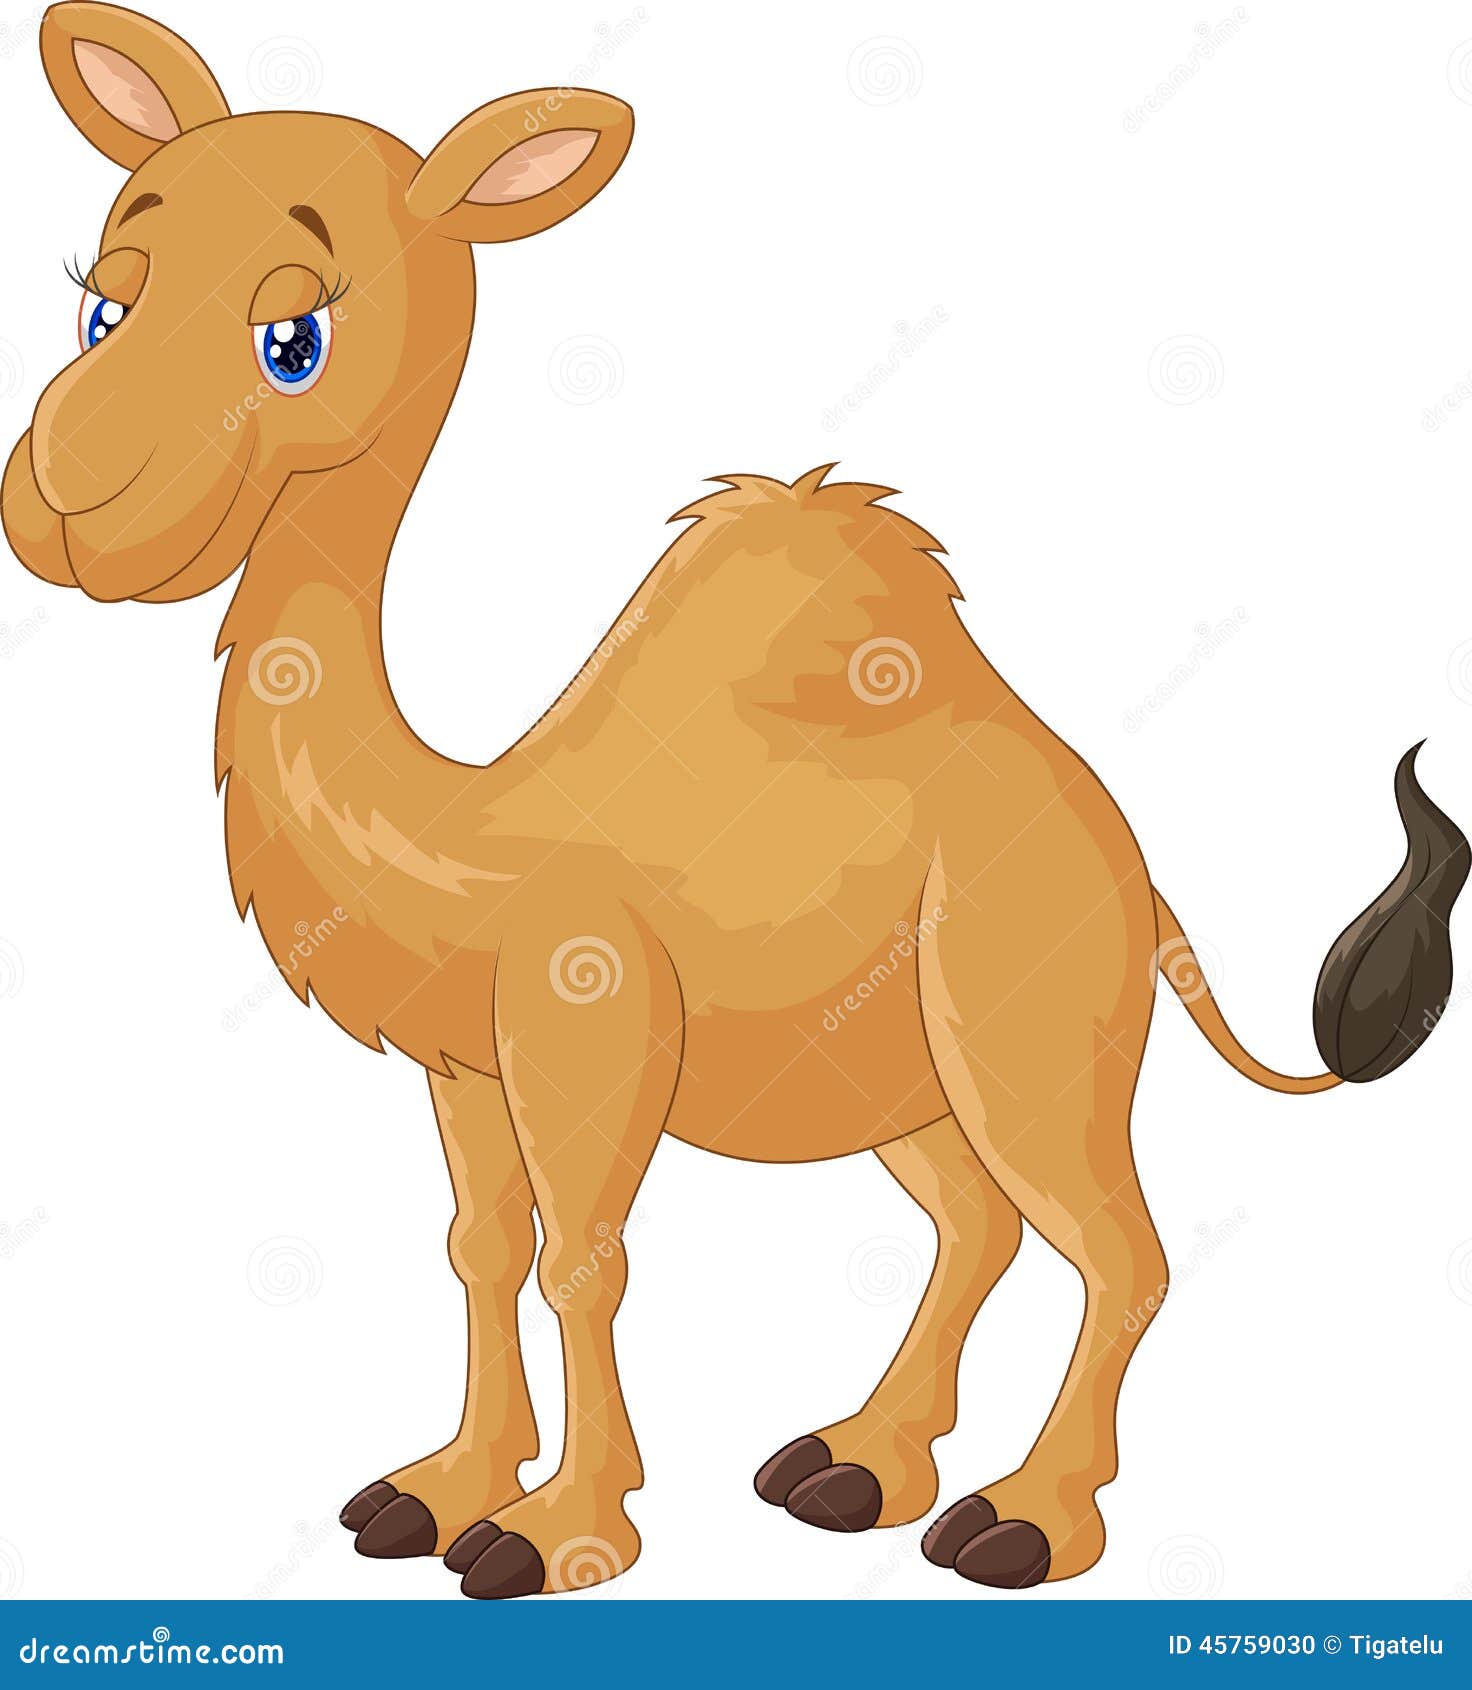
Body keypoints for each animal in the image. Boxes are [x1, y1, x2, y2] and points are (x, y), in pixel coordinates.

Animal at [6, 3, 1468, 1600]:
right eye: (97, 305)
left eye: (294, 338)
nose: (67, 503)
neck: (471, 837)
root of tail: (1135, 869)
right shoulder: (466, 1062)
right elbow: (480, 1244)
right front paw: (435, 1491)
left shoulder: (588, 1022)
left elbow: (585, 1256)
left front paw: (557, 1536)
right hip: (906, 1061)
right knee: (976, 1220)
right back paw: (852, 1466)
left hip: (1025, 1005)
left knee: (1112, 1243)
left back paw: (1020, 1520)